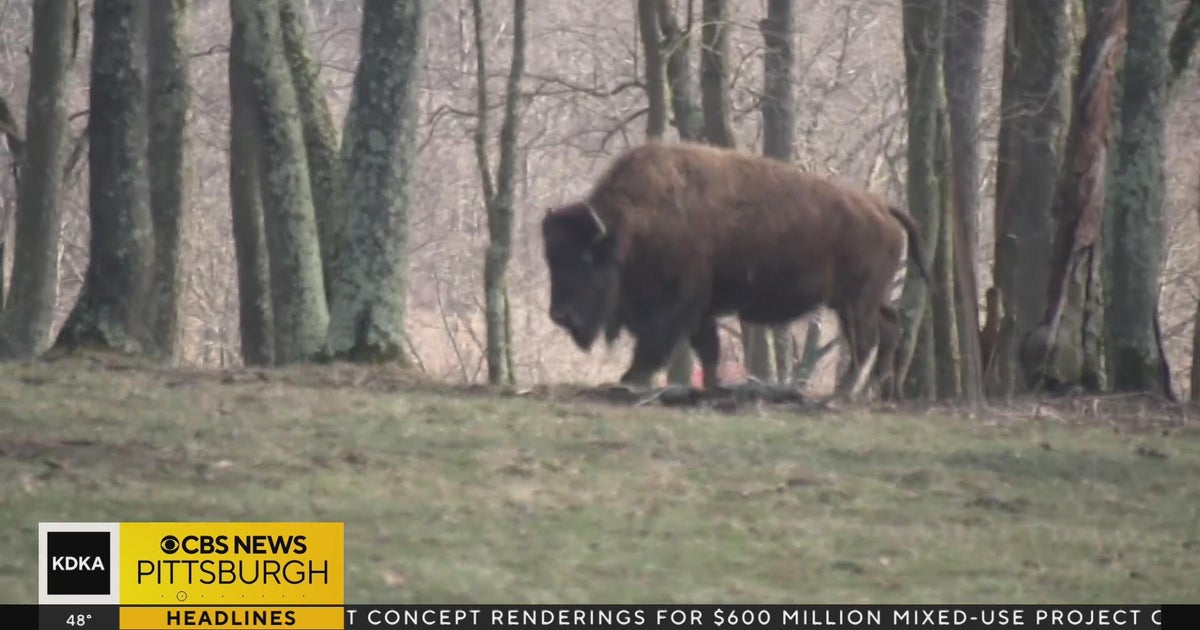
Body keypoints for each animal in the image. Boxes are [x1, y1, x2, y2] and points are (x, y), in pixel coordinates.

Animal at [541, 141, 929, 397]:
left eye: (587, 258)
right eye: (551, 259)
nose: (560, 315)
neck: (632, 226)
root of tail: (879, 205)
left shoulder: (677, 306)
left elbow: (658, 344)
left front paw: (630, 379)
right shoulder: (701, 310)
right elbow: (708, 348)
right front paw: (714, 387)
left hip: (855, 302)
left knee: (865, 340)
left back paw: (844, 394)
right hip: (861, 301)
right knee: (890, 328)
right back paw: (878, 391)